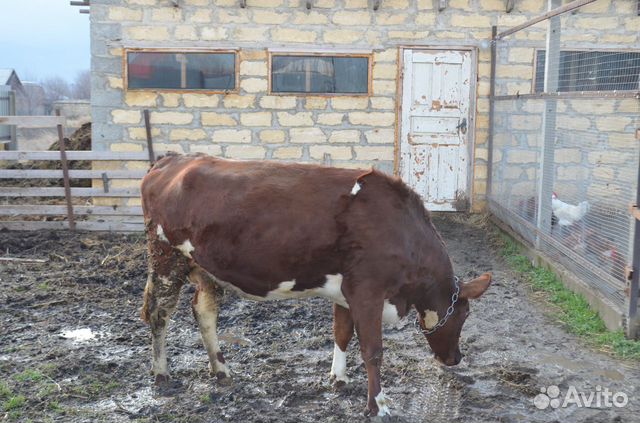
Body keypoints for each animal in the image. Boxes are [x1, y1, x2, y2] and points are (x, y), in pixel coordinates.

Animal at [140, 153, 491, 417]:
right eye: (464, 315)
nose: (456, 358)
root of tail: (172, 159)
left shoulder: (347, 291)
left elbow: (342, 333)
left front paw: (339, 378)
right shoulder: (368, 290)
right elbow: (373, 350)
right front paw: (378, 405)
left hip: (204, 266)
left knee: (204, 311)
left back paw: (221, 370)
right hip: (165, 255)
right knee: (158, 313)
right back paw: (160, 372)